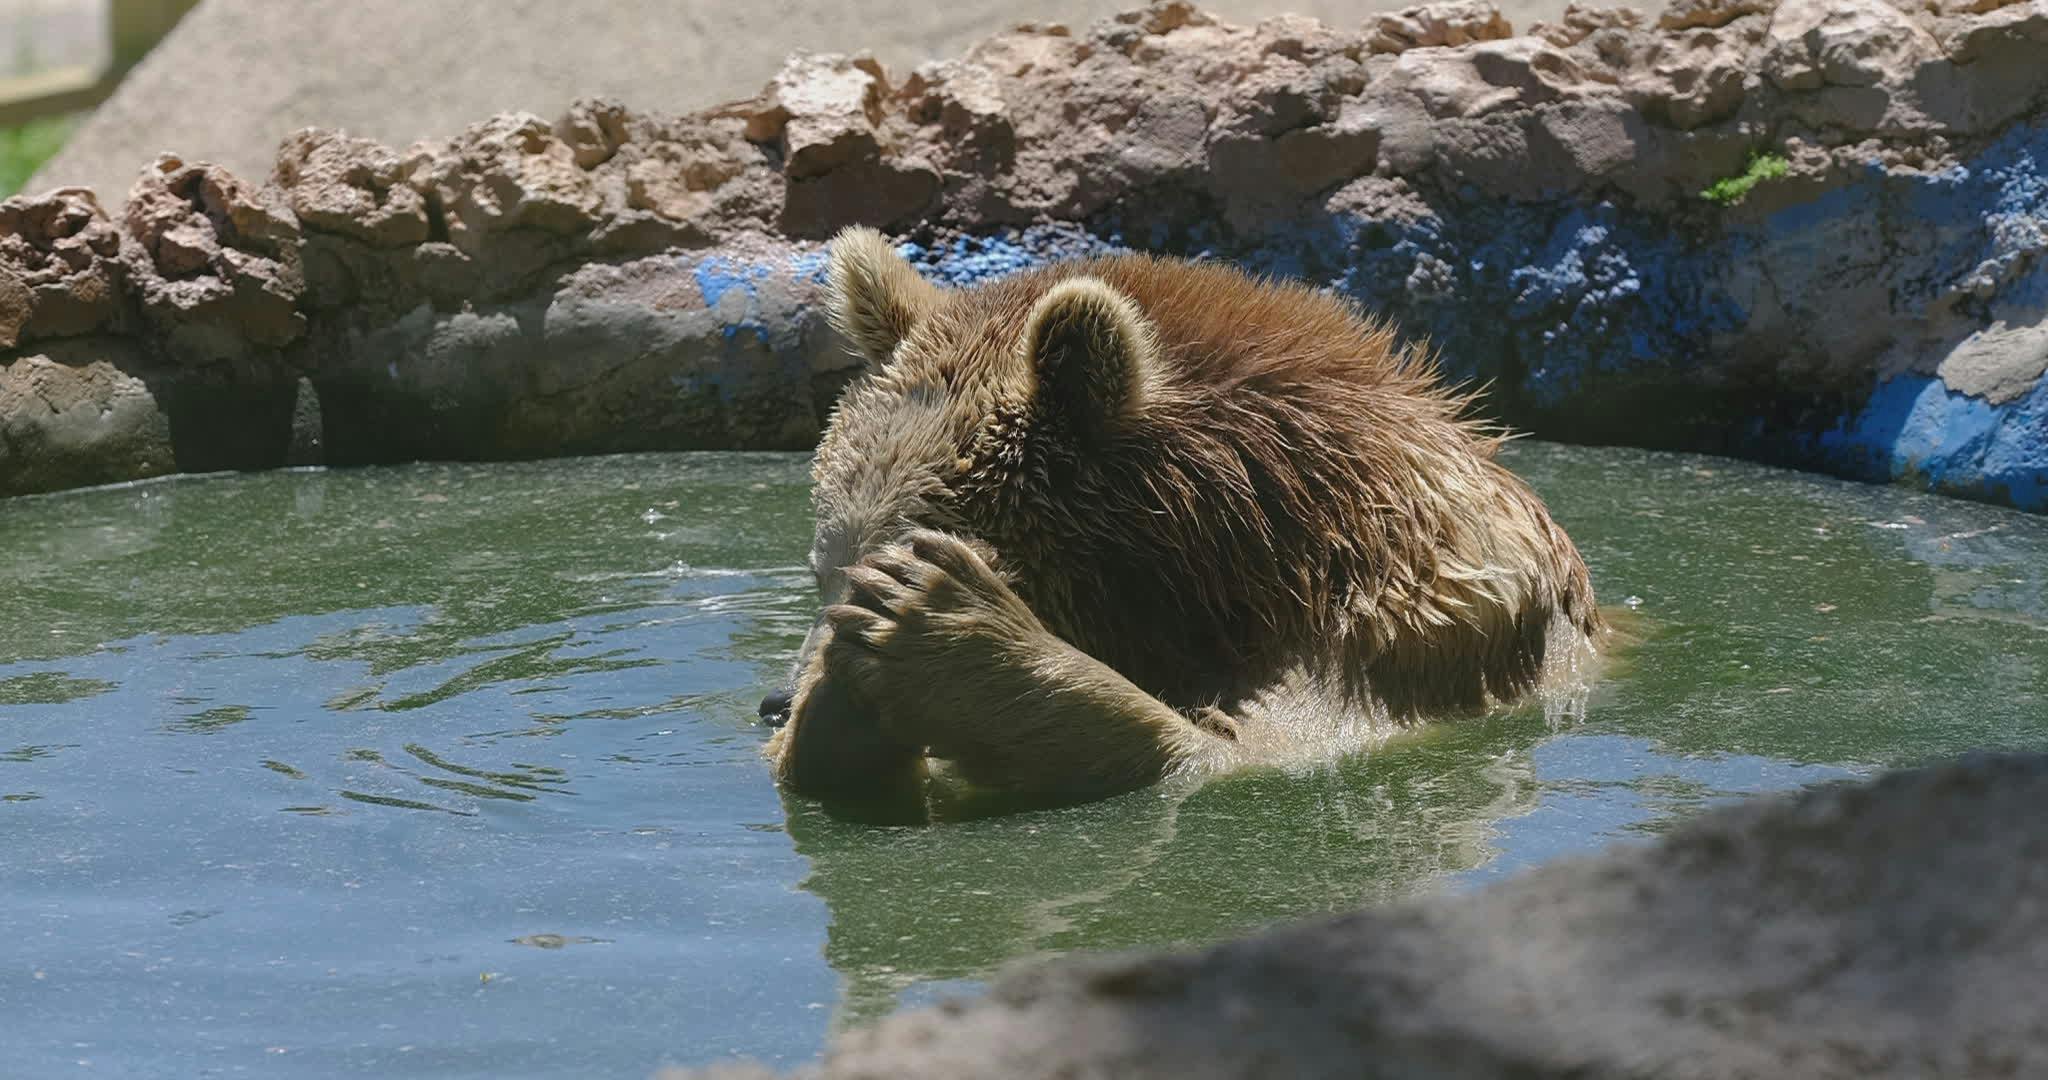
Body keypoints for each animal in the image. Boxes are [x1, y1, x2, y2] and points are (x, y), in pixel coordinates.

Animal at [759, 226, 1604, 805]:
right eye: (821, 565)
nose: (774, 703)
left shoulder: (1413, 620)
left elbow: (1256, 747)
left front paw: (940, 624)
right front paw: (835, 720)